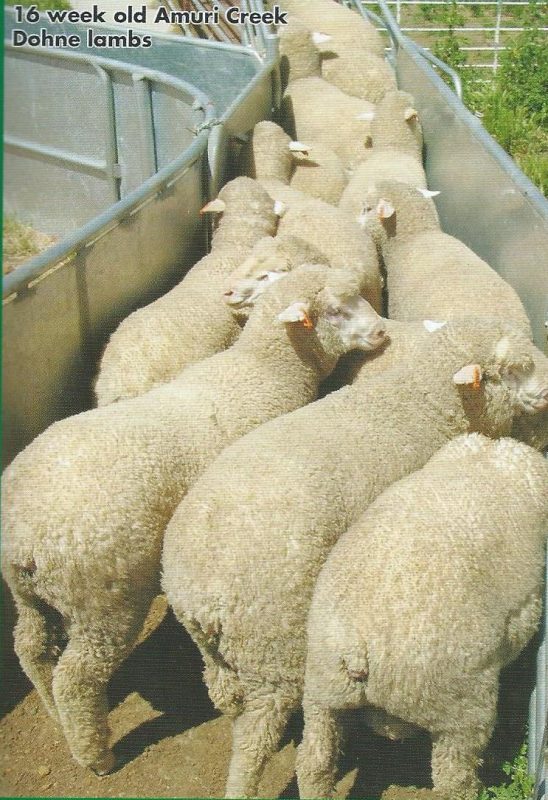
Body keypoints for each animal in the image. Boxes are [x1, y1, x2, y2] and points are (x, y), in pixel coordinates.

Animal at [1, 263, 387, 776]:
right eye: (337, 310)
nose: (382, 331)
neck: (262, 369)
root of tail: (25, 536)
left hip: (29, 595)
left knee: (30, 647)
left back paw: (49, 711)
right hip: (104, 605)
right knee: (78, 679)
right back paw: (95, 755)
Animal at [297, 433, 548, 800]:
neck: (485, 459)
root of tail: (359, 642)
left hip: (322, 691)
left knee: (314, 763)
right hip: (460, 710)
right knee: (452, 780)